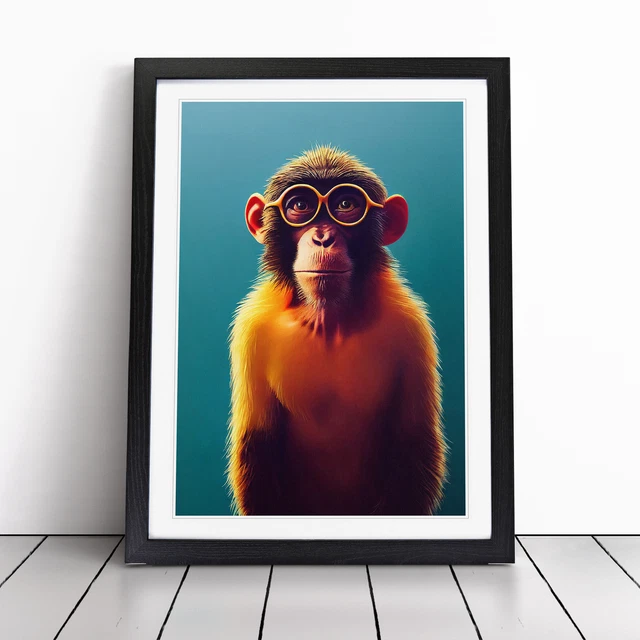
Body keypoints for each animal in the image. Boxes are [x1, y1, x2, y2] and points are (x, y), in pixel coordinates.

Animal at [226, 146, 446, 516]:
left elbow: (413, 447)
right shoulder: (253, 326)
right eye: (300, 205)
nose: (323, 237)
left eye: (346, 205)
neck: (329, 320)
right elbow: (258, 446)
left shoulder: (411, 326)